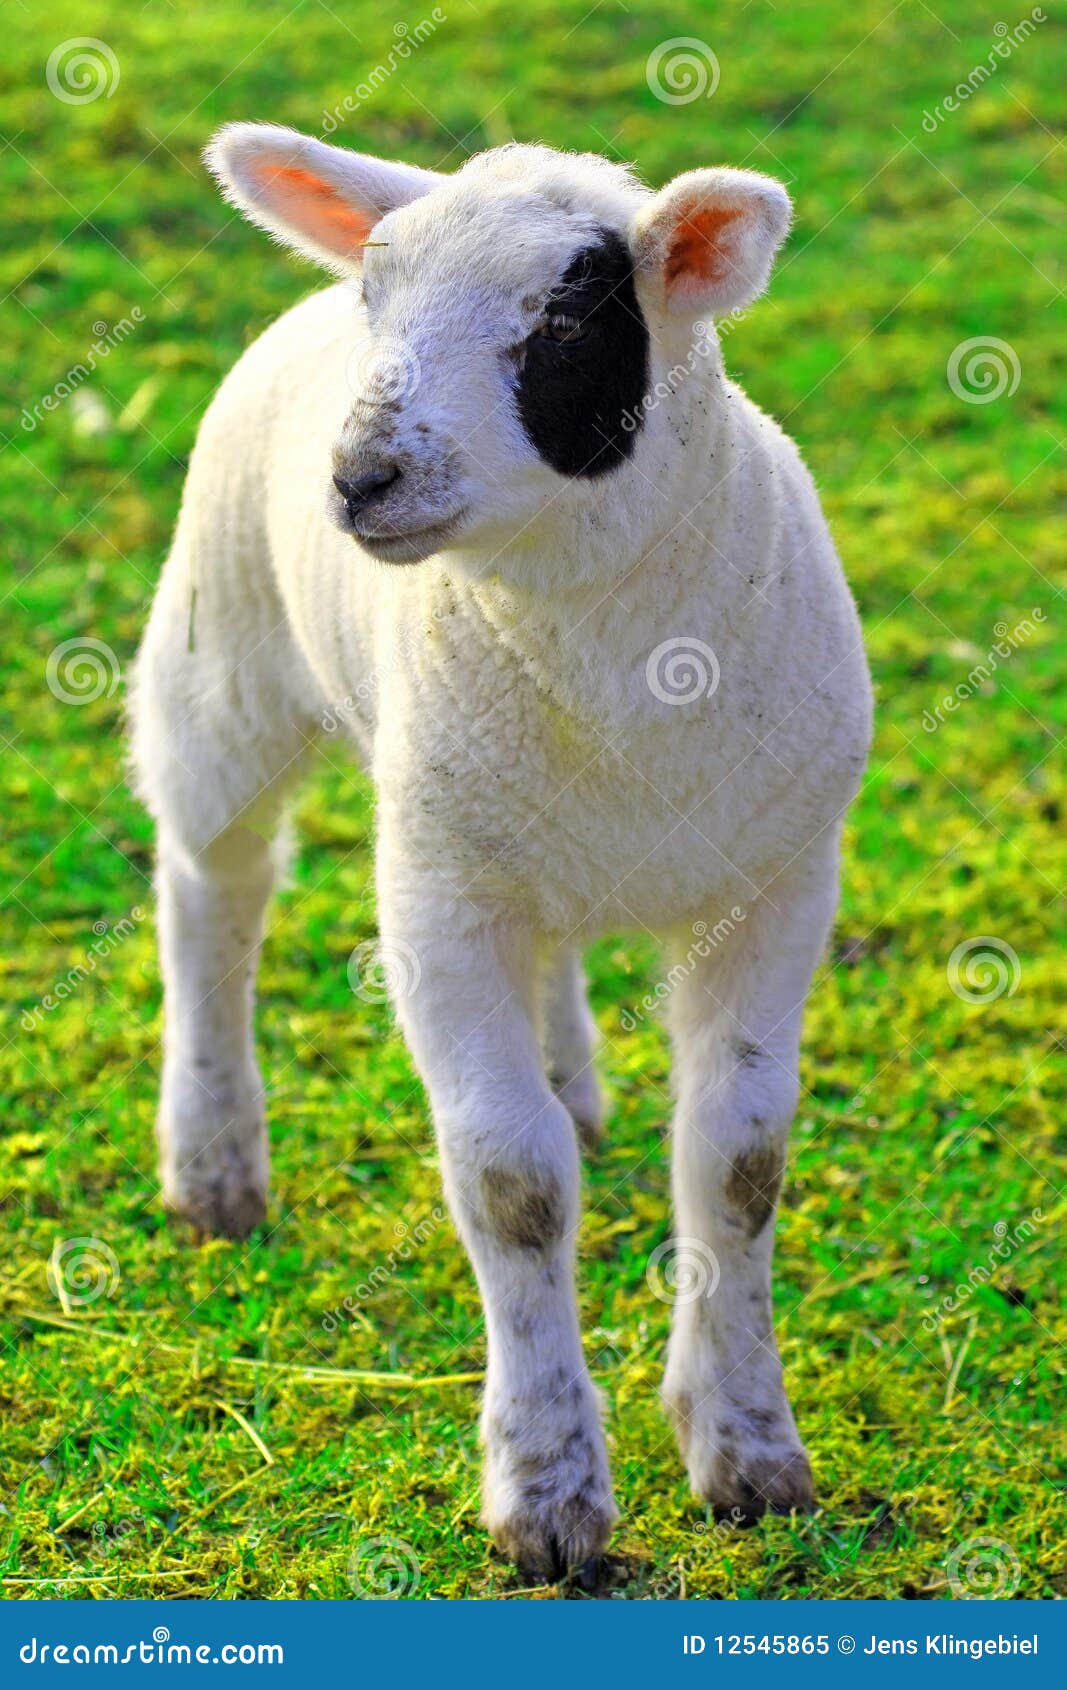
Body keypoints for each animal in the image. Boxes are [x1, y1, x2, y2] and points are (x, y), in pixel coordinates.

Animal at [131, 126, 873, 1582]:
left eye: (567, 319)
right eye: (380, 298)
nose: (360, 479)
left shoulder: (775, 881)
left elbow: (738, 1157)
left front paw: (748, 1450)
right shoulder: (437, 896)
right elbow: (511, 1179)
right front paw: (547, 1498)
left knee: (553, 949)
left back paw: (567, 1076)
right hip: (220, 654)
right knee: (210, 887)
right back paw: (213, 1159)